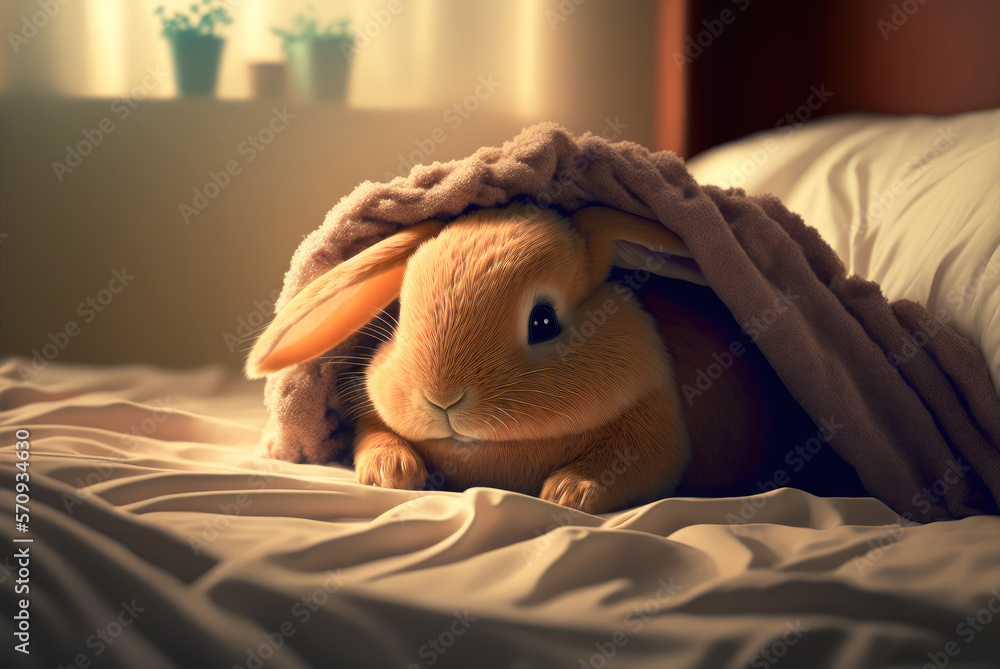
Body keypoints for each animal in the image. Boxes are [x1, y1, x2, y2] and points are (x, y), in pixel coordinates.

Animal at [247, 203, 791, 514]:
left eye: (544, 321)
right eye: (400, 313)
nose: (442, 399)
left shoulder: (656, 429)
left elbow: (635, 464)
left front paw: (569, 493)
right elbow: (375, 437)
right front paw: (393, 472)